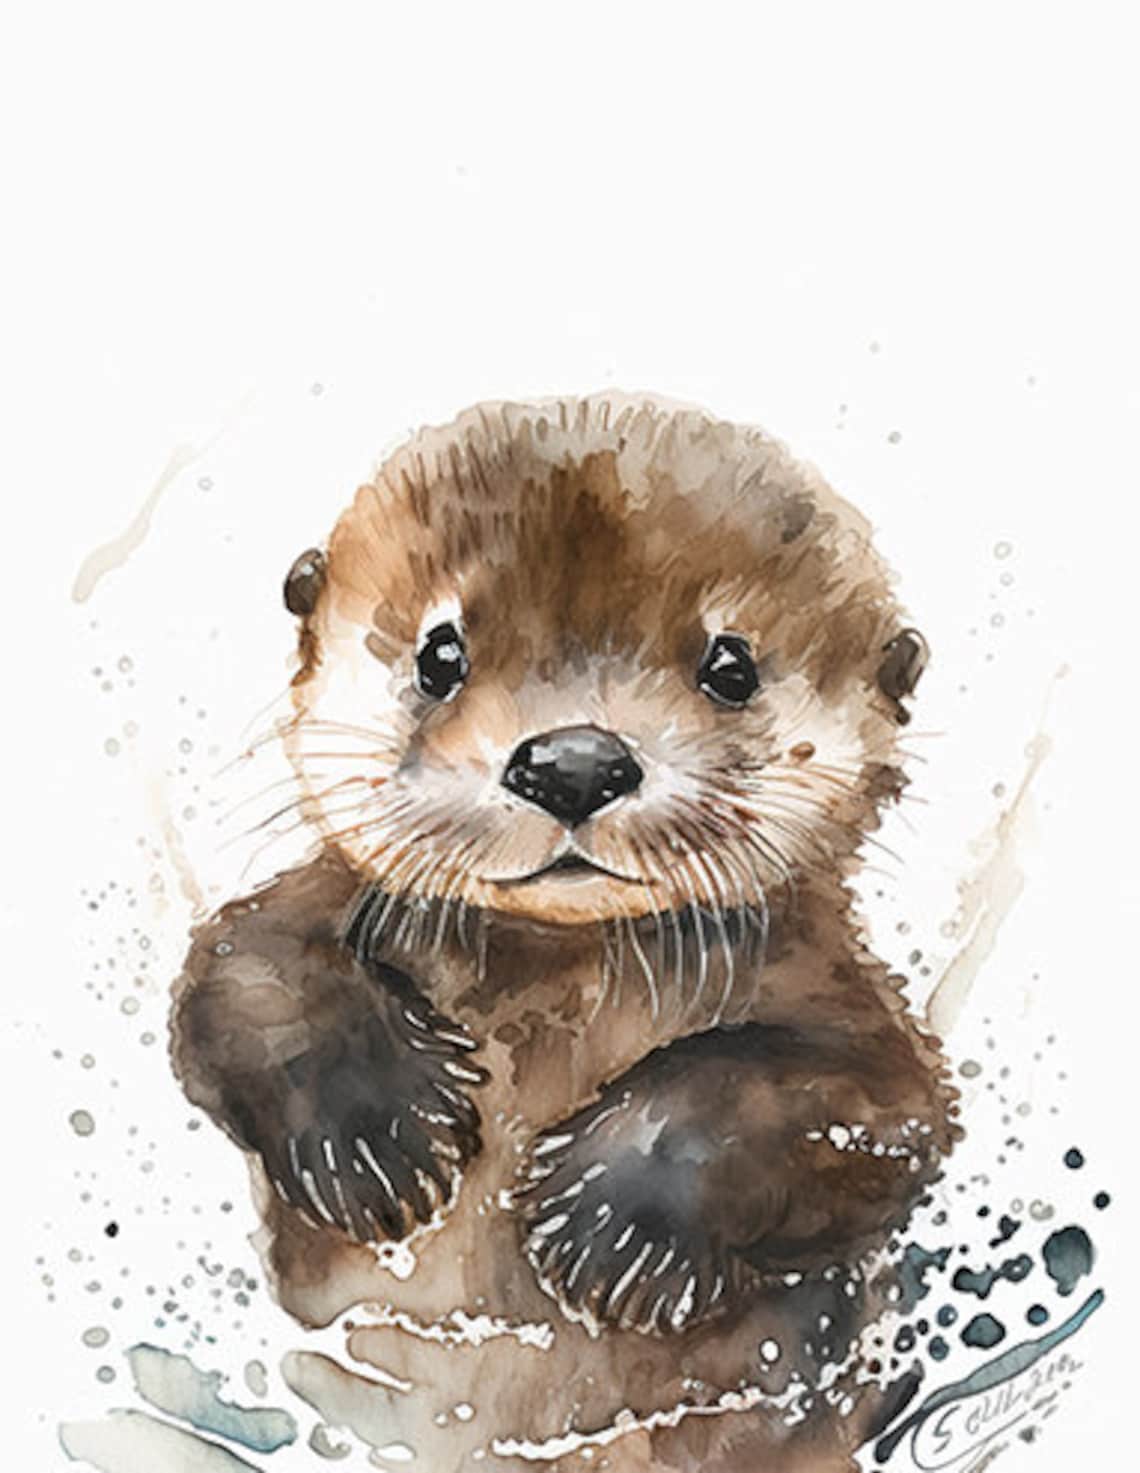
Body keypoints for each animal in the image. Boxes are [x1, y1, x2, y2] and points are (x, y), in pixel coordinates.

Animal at [169, 395, 958, 1471]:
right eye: (441, 654)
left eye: (731, 666)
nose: (574, 760)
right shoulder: (296, 911)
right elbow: (236, 975)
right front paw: (375, 1135)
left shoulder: (857, 1011)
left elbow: (874, 1114)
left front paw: (611, 1217)